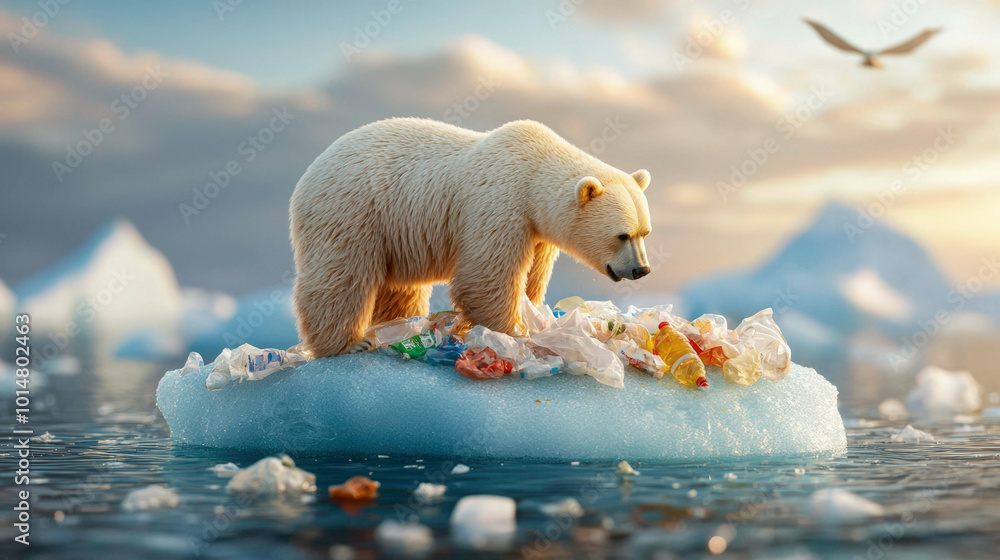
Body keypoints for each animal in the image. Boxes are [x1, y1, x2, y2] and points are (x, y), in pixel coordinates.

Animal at [290, 117, 652, 357]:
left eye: (644, 232)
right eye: (622, 235)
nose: (641, 270)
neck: (533, 173)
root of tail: (308, 174)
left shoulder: (537, 231)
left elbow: (533, 274)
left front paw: (535, 315)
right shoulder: (499, 203)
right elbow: (486, 275)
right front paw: (513, 332)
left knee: (399, 289)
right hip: (353, 211)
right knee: (340, 276)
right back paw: (350, 342)